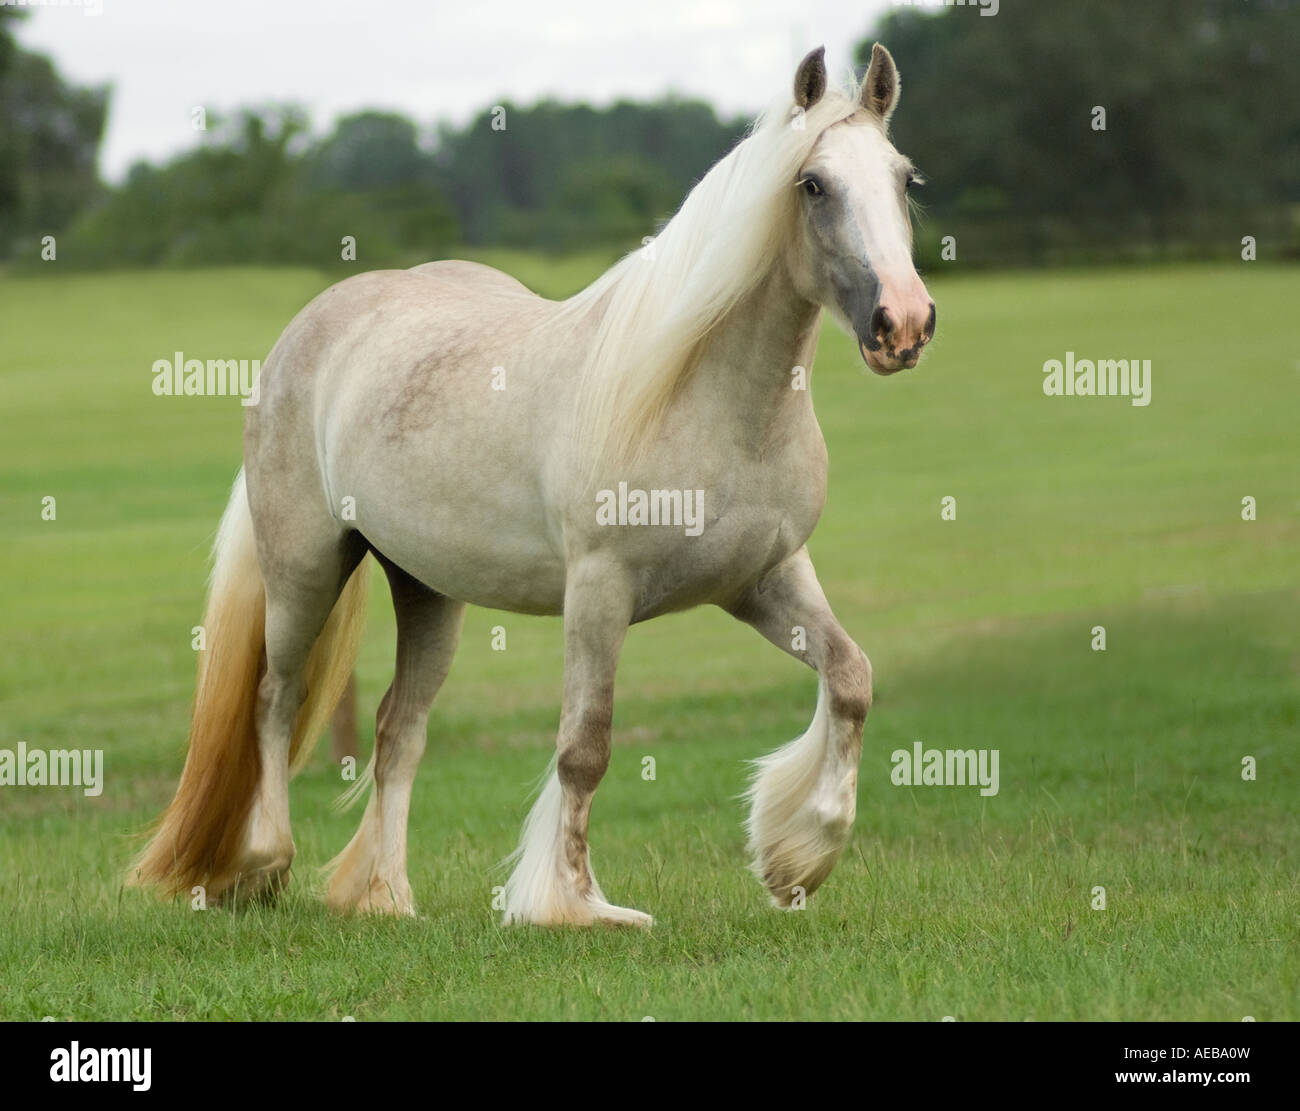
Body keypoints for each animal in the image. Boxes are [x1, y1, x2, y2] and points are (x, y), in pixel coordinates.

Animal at [128, 44, 936, 926]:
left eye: (902, 177)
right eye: (813, 184)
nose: (903, 324)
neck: (701, 398)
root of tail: (310, 327)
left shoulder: (764, 577)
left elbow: (851, 677)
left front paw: (799, 859)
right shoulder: (599, 591)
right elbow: (585, 747)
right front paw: (575, 904)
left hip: (427, 590)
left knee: (397, 728)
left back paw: (387, 895)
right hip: (305, 566)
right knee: (276, 697)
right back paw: (264, 864)